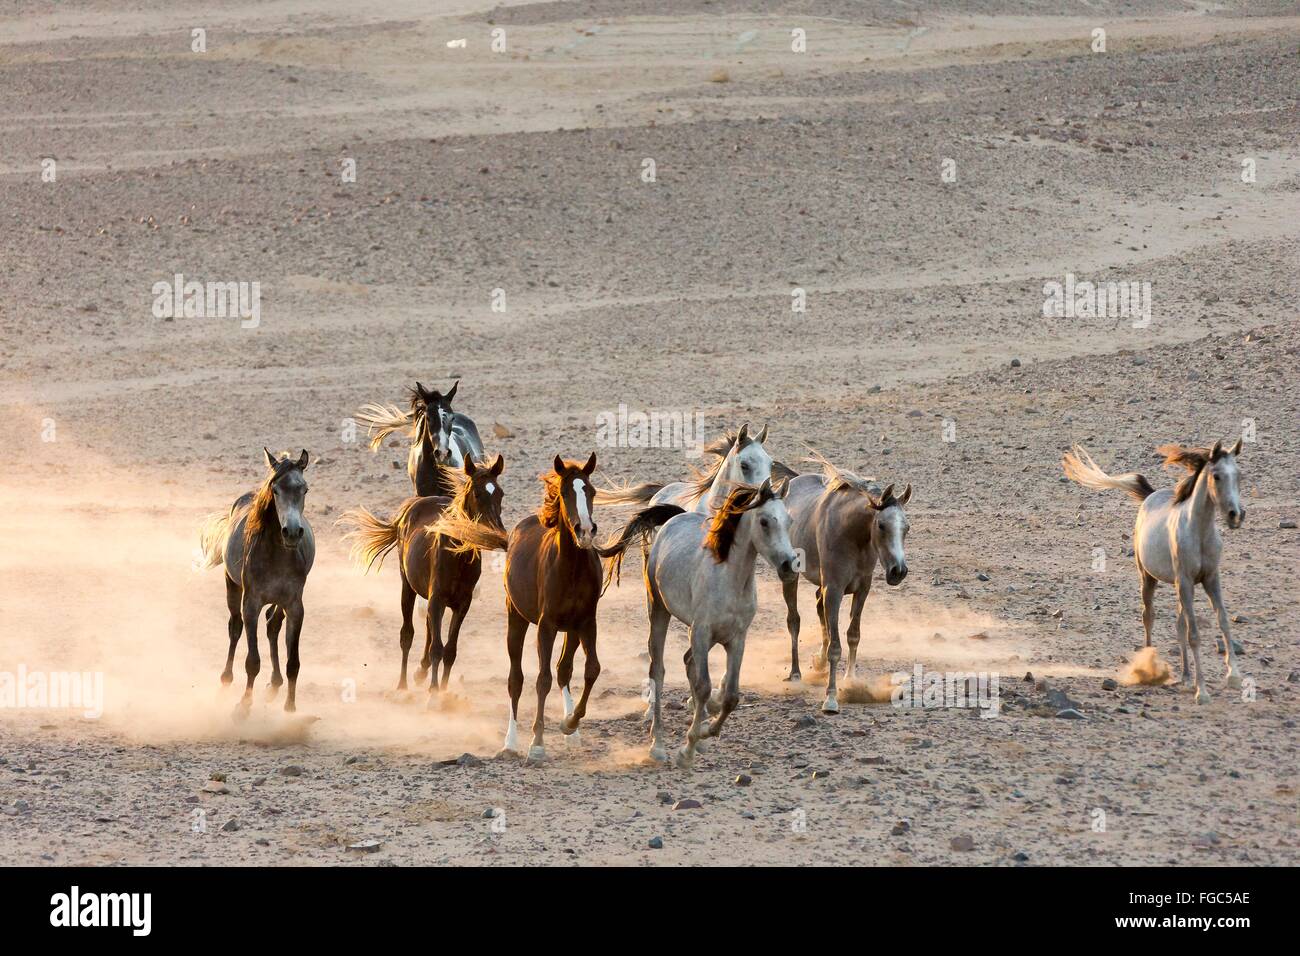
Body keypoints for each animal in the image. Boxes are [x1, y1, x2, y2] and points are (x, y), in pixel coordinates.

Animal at [198, 449, 314, 713]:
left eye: (304, 489)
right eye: (275, 489)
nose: (292, 532)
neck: (277, 554)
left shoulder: (295, 606)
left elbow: (294, 662)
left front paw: (290, 707)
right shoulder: (251, 604)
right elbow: (252, 660)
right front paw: (244, 705)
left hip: (280, 602)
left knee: (272, 625)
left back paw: (275, 684)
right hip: (232, 586)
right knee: (235, 627)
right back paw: (226, 680)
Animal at [339, 455, 506, 702]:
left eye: (500, 494)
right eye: (477, 493)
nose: (501, 538)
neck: (458, 557)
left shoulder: (462, 604)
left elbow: (450, 650)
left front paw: (443, 689)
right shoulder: (437, 598)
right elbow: (437, 646)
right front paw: (434, 690)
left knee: (428, 626)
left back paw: (421, 671)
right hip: (407, 587)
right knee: (407, 634)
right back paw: (402, 684)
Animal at [600, 478, 799, 766]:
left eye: (789, 520)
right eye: (764, 522)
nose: (788, 565)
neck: (730, 580)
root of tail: (674, 519)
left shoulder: (737, 639)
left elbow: (731, 696)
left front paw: (705, 732)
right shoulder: (702, 632)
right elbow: (704, 686)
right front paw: (687, 749)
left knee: (688, 661)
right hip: (660, 612)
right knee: (658, 671)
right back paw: (657, 745)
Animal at [780, 453, 912, 713]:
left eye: (907, 528)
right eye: (882, 525)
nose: (898, 571)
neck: (853, 534)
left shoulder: (862, 590)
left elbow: (853, 635)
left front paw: (850, 680)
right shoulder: (835, 590)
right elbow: (835, 646)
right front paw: (831, 698)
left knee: (818, 607)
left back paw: (818, 663)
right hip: (791, 576)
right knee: (794, 620)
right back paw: (796, 673)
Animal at [1062, 440, 1246, 703]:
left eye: (1239, 475)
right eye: (1217, 476)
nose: (1235, 516)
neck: (1199, 532)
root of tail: (1150, 496)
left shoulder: (1210, 579)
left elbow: (1222, 622)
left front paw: (1233, 676)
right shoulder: (1186, 582)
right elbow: (1194, 635)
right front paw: (1202, 691)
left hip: (1177, 587)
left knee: (1179, 625)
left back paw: (1186, 678)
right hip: (1148, 578)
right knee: (1148, 617)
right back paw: (1148, 666)